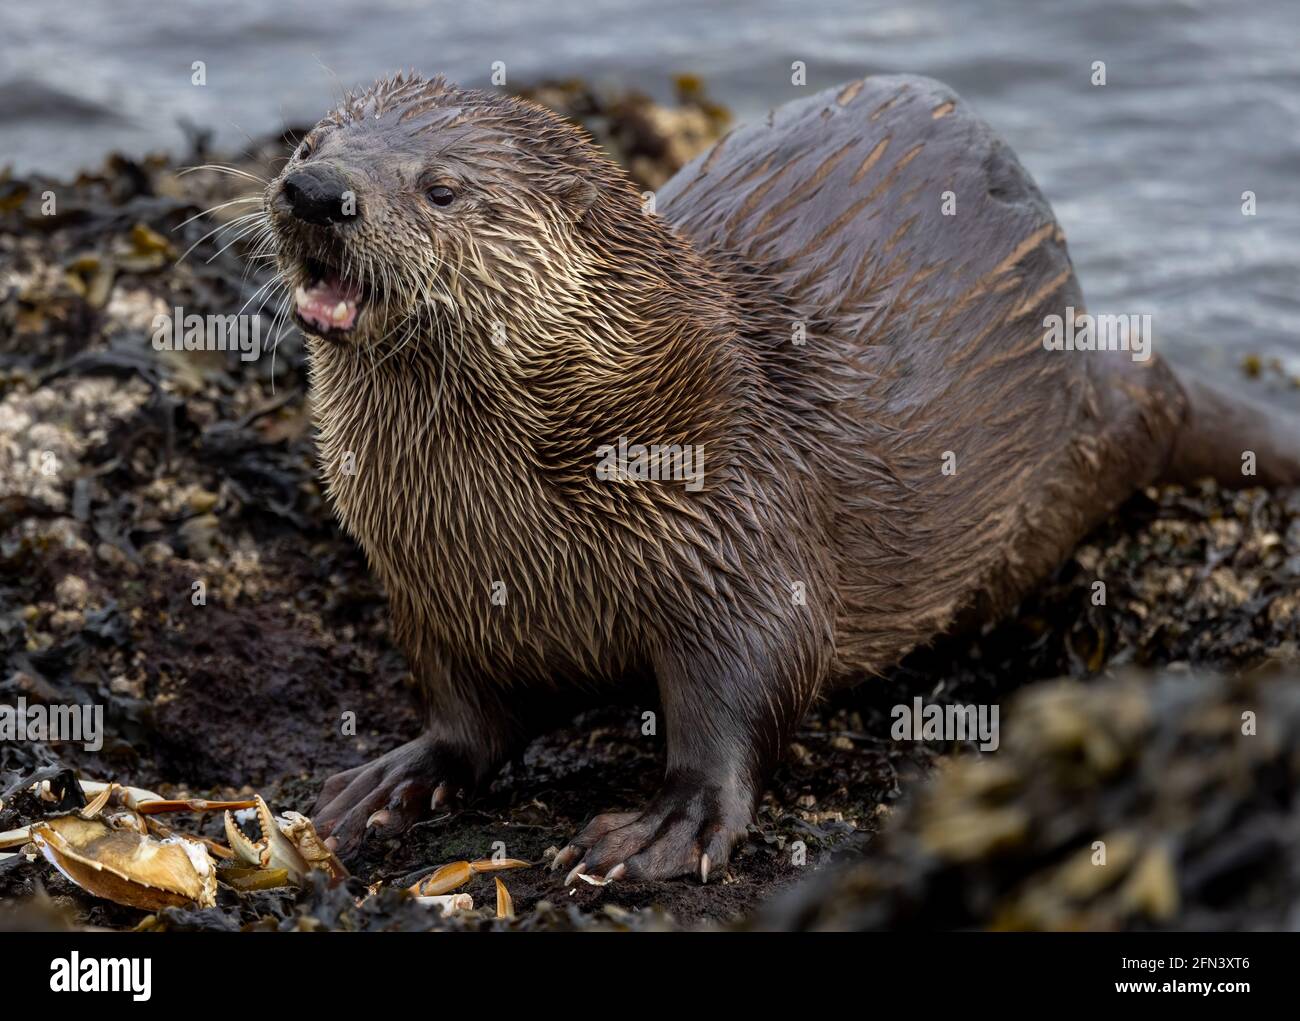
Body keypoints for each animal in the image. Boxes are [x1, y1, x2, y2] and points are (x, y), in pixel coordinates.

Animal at [265, 72, 1300, 882]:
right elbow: (464, 714)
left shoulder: (737, 522)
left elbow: (747, 687)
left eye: (441, 188)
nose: (316, 190)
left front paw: (667, 823)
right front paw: (395, 777)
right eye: (309, 142)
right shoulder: (427, 588)